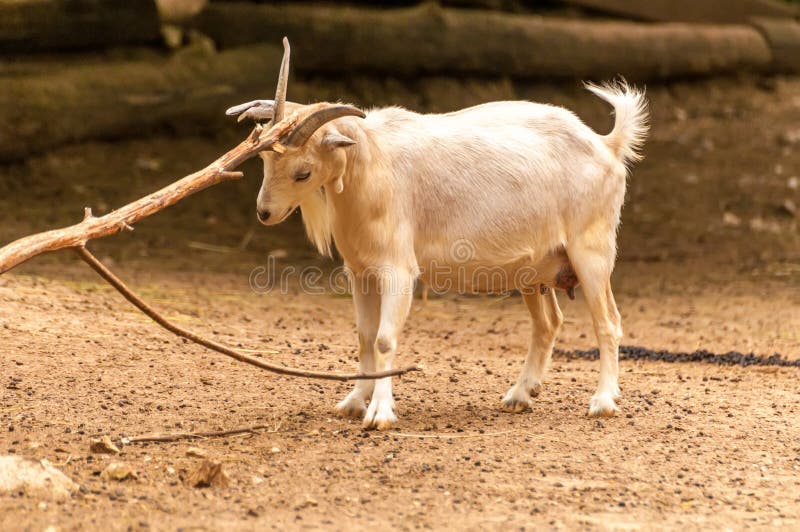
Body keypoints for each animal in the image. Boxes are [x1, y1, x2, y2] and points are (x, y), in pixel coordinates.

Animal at [227, 39, 649, 429]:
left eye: (303, 173)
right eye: (263, 158)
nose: (265, 213)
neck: (372, 160)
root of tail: (608, 145)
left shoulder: (398, 270)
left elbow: (384, 339)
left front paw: (380, 413)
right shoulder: (360, 272)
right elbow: (364, 336)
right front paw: (354, 401)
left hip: (591, 253)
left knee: (608, 322)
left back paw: (603, 402)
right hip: (535, 271)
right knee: (548, 324)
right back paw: (519, 394)